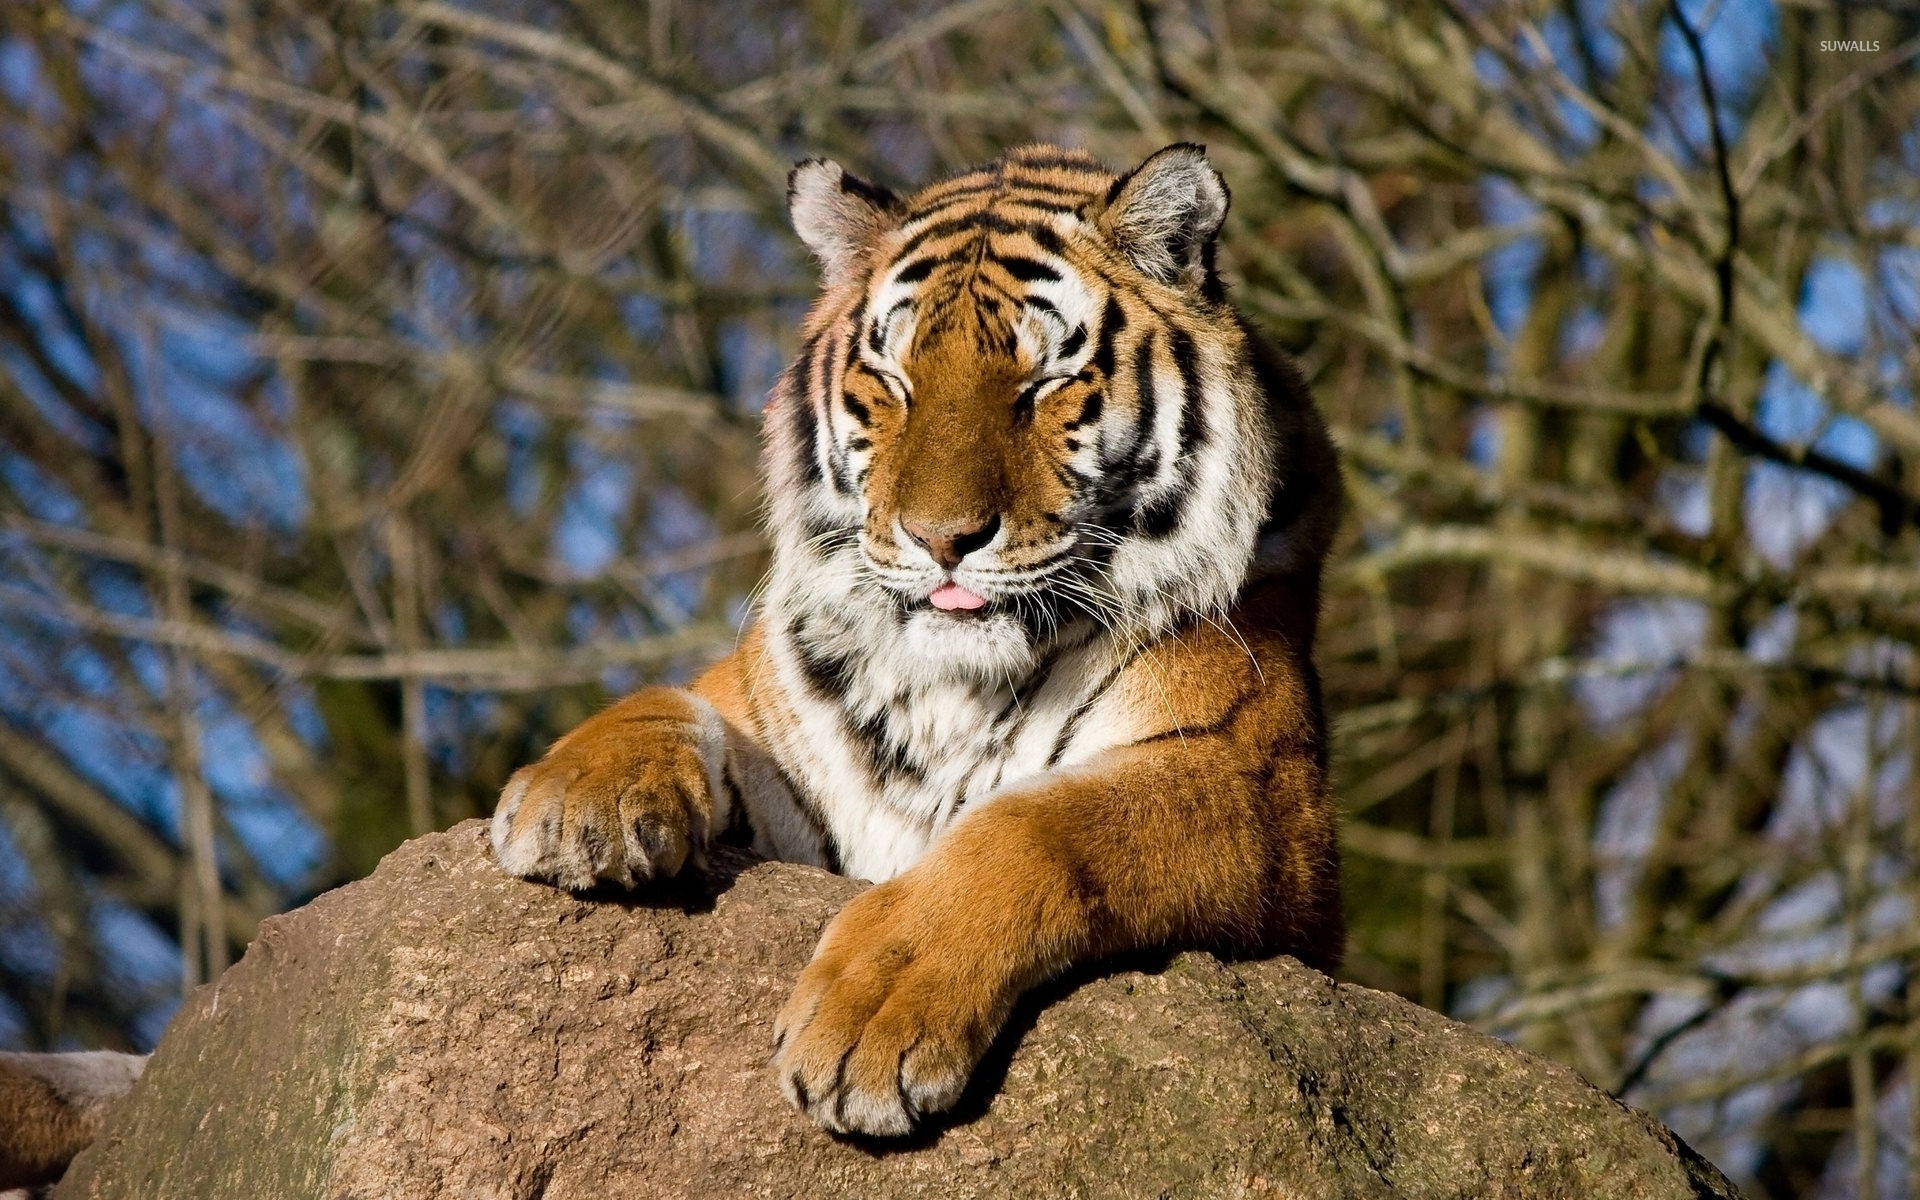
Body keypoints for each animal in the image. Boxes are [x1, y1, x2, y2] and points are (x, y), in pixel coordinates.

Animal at [491, 142, 1345, 1138]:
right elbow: (671, 697)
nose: (942, 538)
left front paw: (869, 1018)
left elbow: (1036, 823)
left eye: (1043, 384)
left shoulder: (1256, 788)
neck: (952, 685)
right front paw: (574, 803)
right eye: (895, 382)